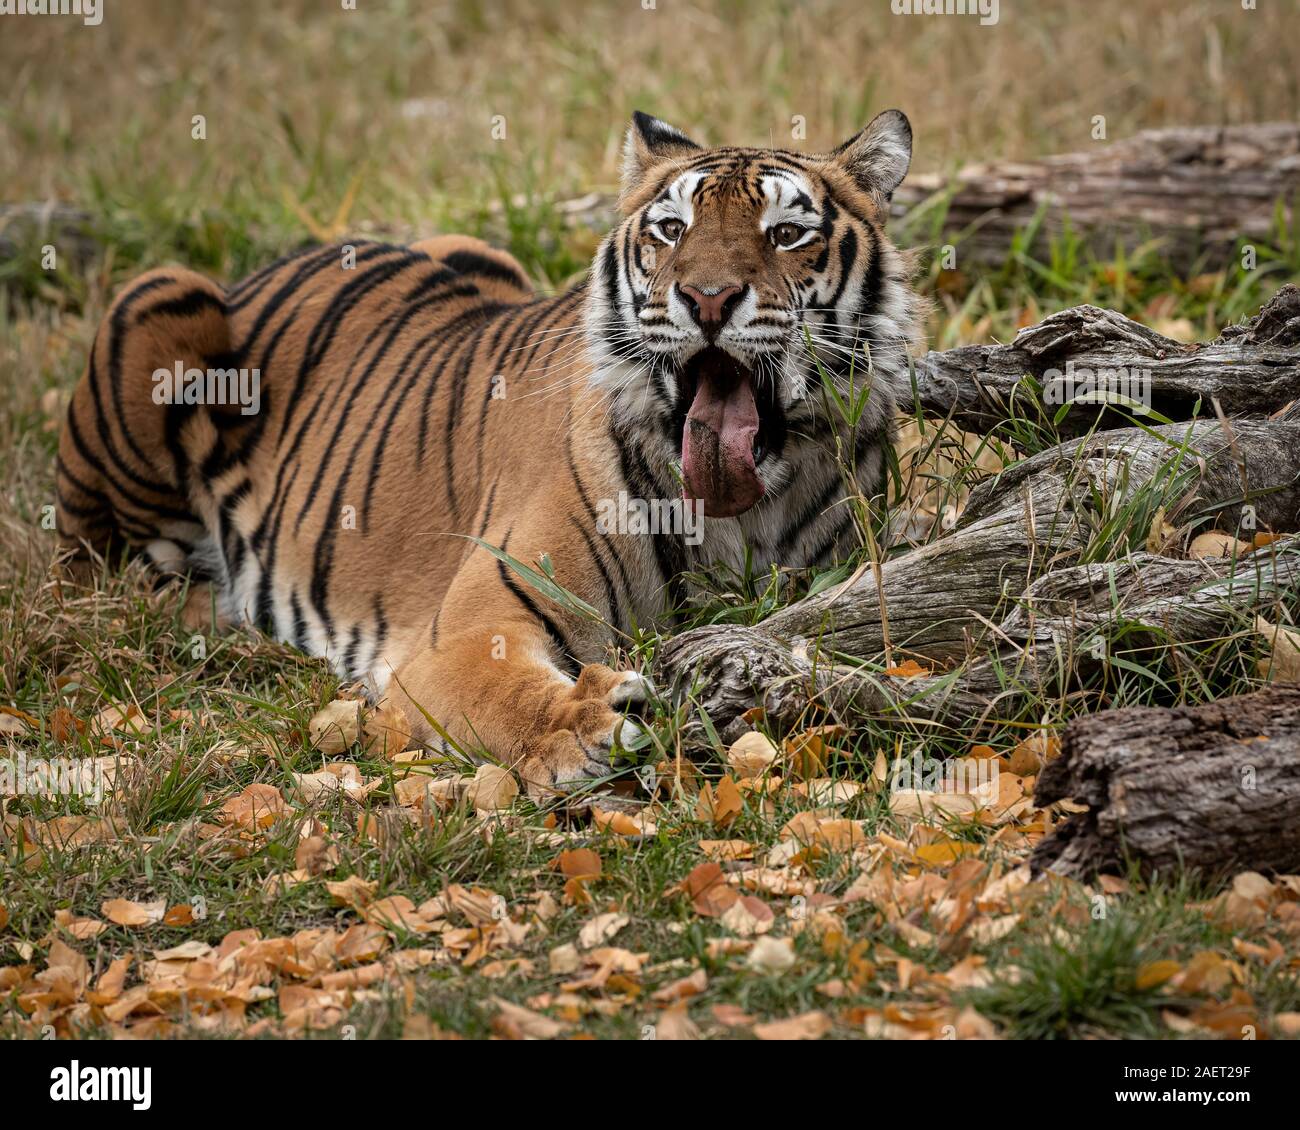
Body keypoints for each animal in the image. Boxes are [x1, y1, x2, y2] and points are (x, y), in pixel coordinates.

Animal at [55, 110, 922, 798]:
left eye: (787, 233)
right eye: (671, 230)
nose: (706, 299)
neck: (742, 514)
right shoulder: (469, 631)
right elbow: (508, 695)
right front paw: (581, 726)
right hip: (158, 301)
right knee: (97, 574)